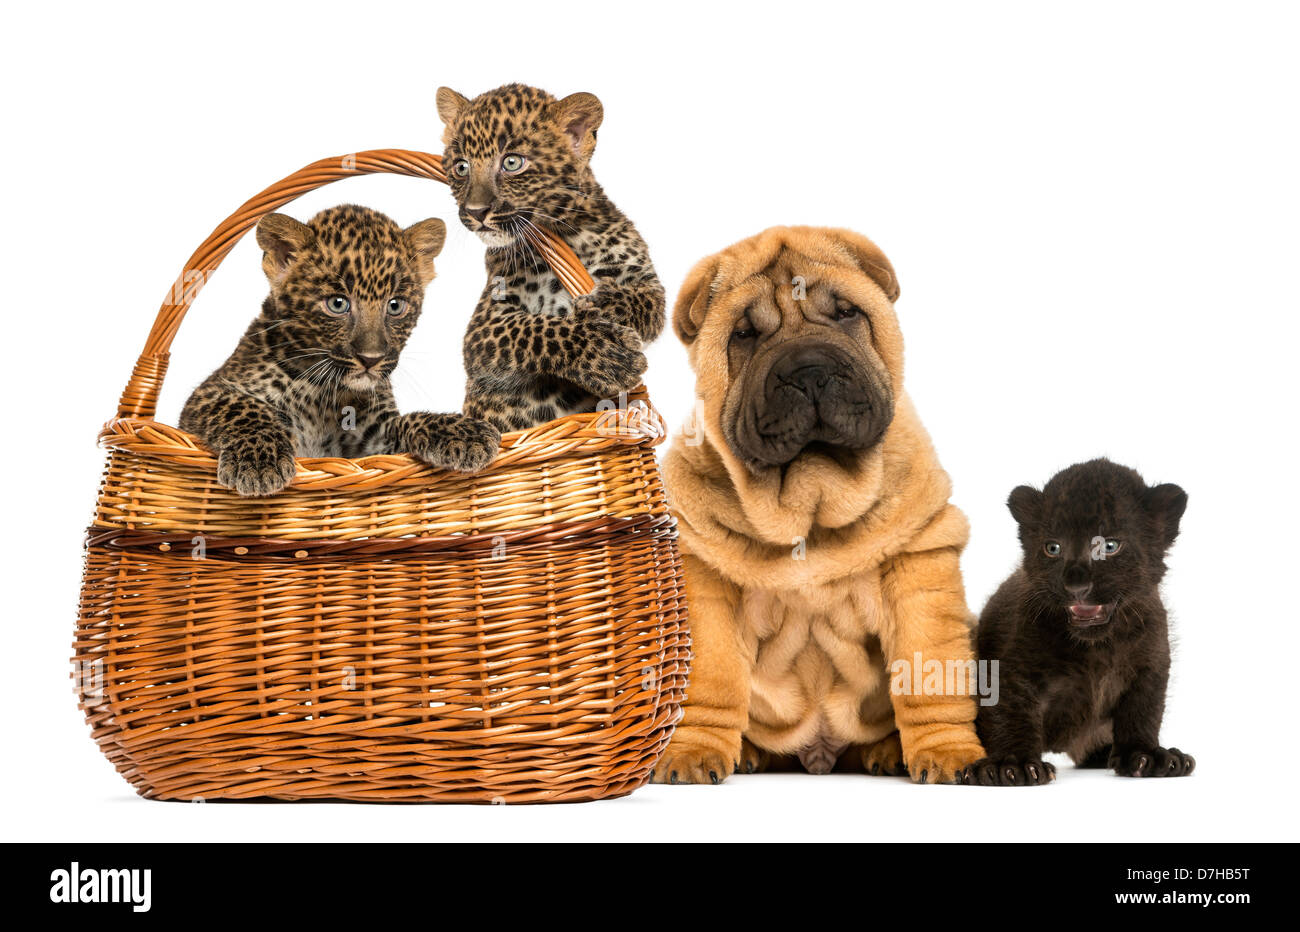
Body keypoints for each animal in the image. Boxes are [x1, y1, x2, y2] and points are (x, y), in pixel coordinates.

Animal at [179, 203, 500, 496]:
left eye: (395, 306)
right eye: (337, 303)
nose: (371, 359)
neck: (319, 392)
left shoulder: (367, 441)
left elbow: (405, 421)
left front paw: (463, 432)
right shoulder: (210, 392)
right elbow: (244, 408)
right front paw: (259, 461)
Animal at [435, 83, 666, 432]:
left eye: (512, 163)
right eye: (461, 167)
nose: (475, 212)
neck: (569, 233)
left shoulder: (644, 278)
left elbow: (647, 303)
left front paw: (605, 303)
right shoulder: (483, 327)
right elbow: (536, 329)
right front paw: (609, 357)